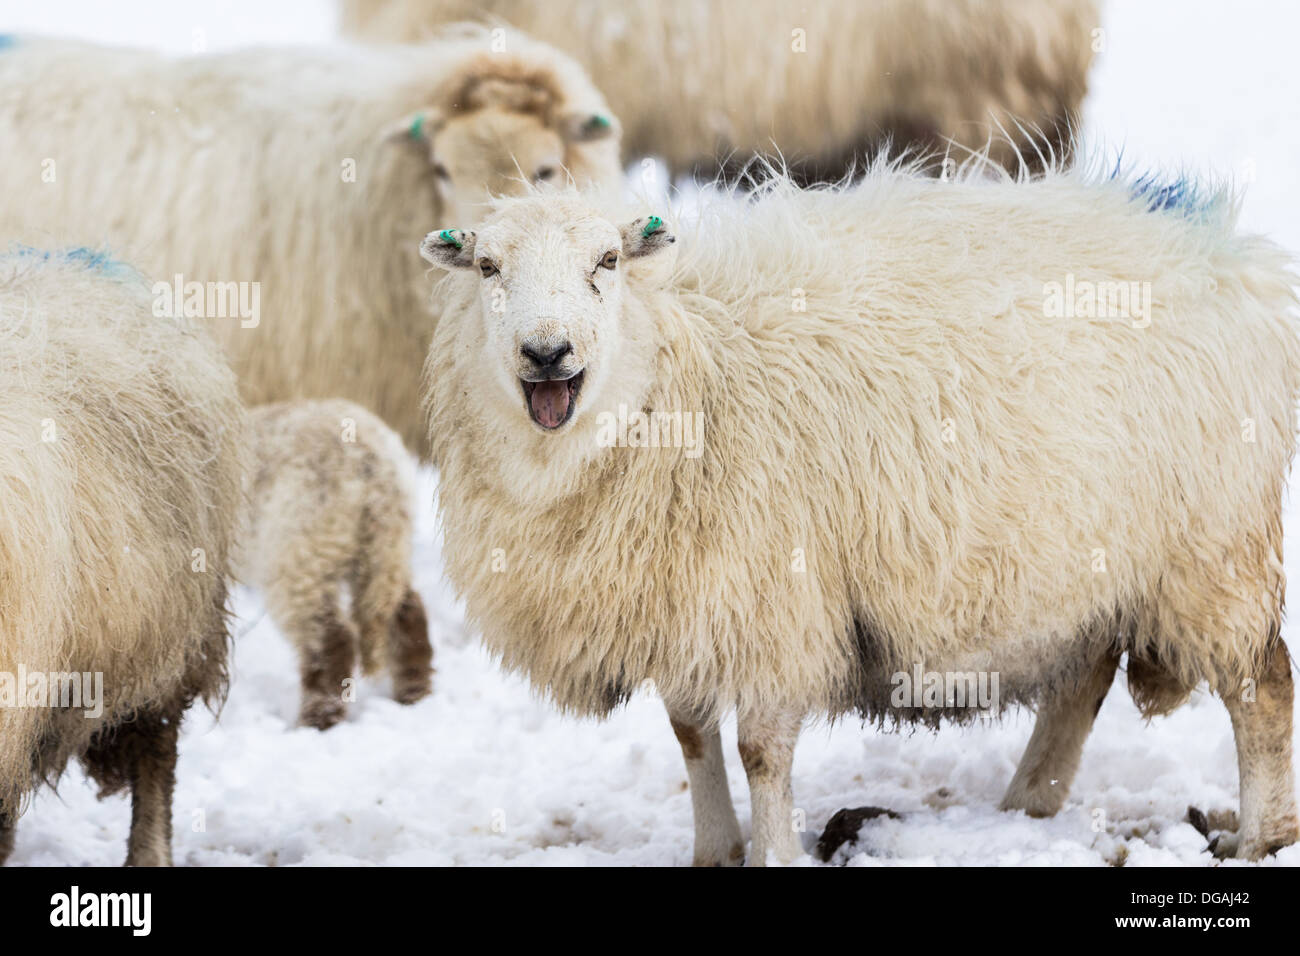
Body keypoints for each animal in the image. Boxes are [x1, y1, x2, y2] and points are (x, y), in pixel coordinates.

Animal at [239, 399, 433, 730]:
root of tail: (375, 465)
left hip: (301, 549)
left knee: (331, 639)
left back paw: (318, 717)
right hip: (384, 548)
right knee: (406, 611)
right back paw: (413, 693)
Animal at [419, 168, 1300, 865]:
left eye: (606, 262)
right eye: (488, 265)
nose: (547, 354)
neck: (686, 376)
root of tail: (1230, 262)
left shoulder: (772, 601)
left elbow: (761, 750)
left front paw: (773, 855)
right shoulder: (685, 599)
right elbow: (692, 736)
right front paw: (714, 851)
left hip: (1209, 549)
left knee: (1262, 688)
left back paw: (1257, 837)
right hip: (1087, 559)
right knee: (1081, 679)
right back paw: (1028, 807)